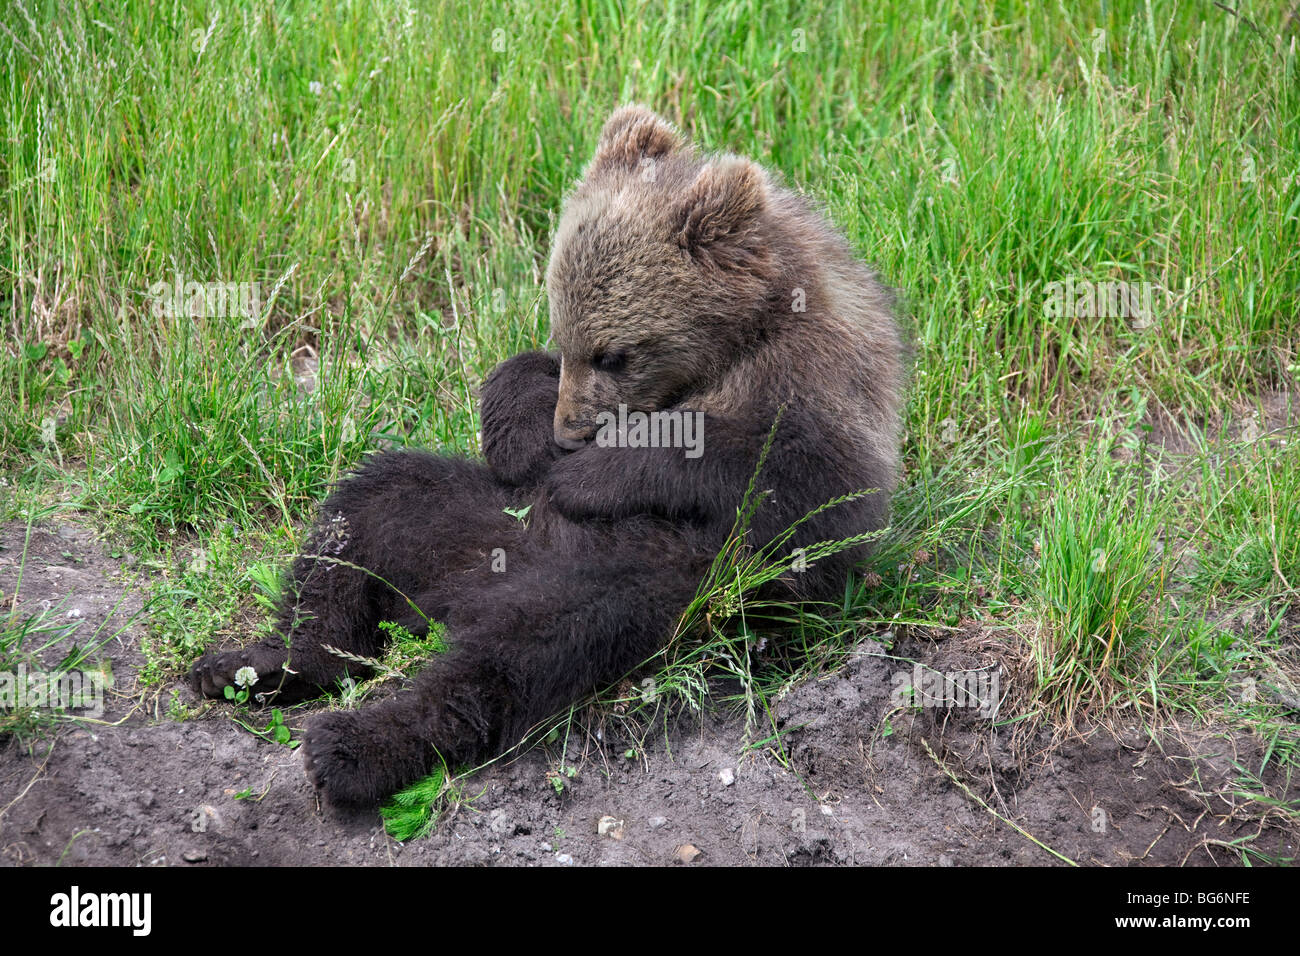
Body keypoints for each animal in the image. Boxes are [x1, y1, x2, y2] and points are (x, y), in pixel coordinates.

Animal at [189, 105, 905, 807]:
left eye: (615, 353)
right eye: (567, 337)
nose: (569, 434)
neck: (747, 334)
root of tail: (454, 597)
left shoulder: (818, 394)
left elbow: (784, 480)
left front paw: (590, 475)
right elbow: (515, 385)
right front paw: (529, 436)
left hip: (633, 582)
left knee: (514, 657)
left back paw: (351, 746)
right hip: (466, 519)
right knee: (366, 514)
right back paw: (255, 666)